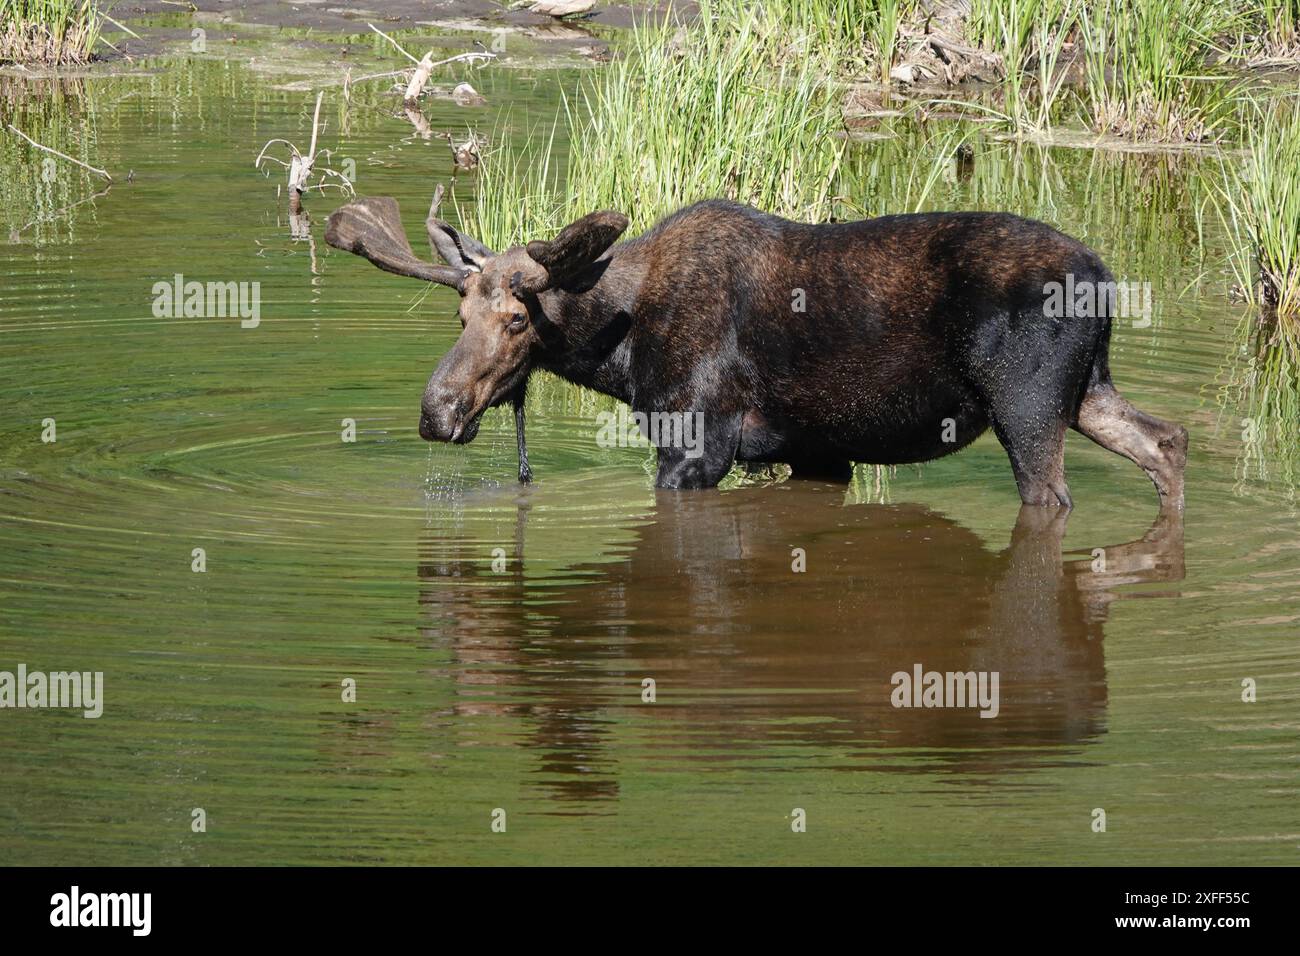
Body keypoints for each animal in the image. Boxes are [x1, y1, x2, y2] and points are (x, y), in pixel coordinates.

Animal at [324, 191, 1188, 511]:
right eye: (458, 310)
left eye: (515, 321)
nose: (437, 412)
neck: (618, 352)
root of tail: (1105, 277)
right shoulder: (815, 450)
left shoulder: (693, 443)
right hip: (1089, 391)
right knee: (1166, 440)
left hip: (1028, 404)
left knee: (1055, 496)